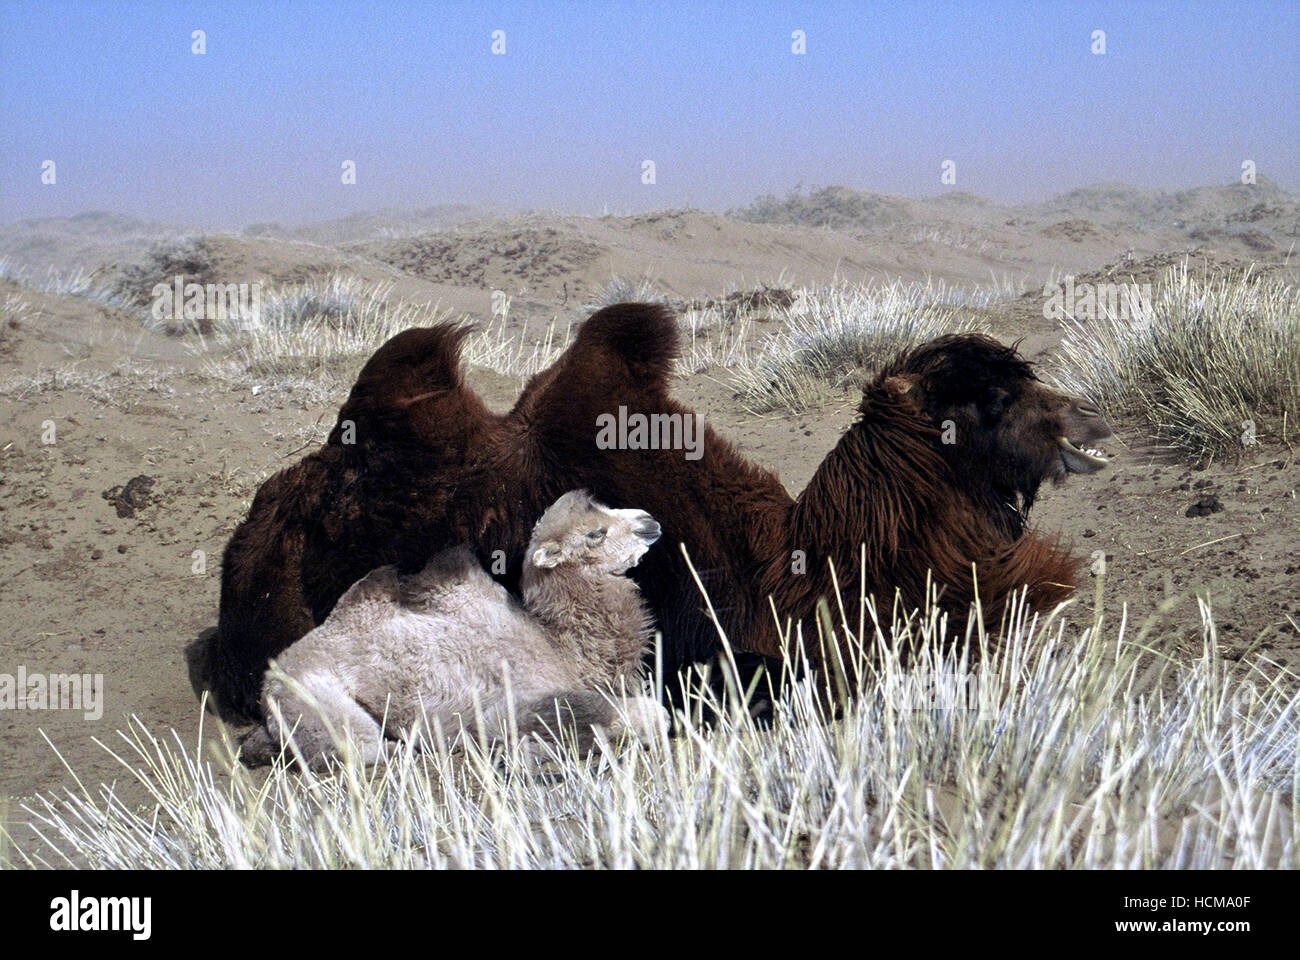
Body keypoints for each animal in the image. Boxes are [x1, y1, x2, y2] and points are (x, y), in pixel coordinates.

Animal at [239, 490, 667, 769]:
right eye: (595, 533)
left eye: (608, 506)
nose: (650, 523)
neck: (562, 645)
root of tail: (268, 682)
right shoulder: (507, 706)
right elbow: (621, 712)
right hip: (314, 701)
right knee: (358, 750)